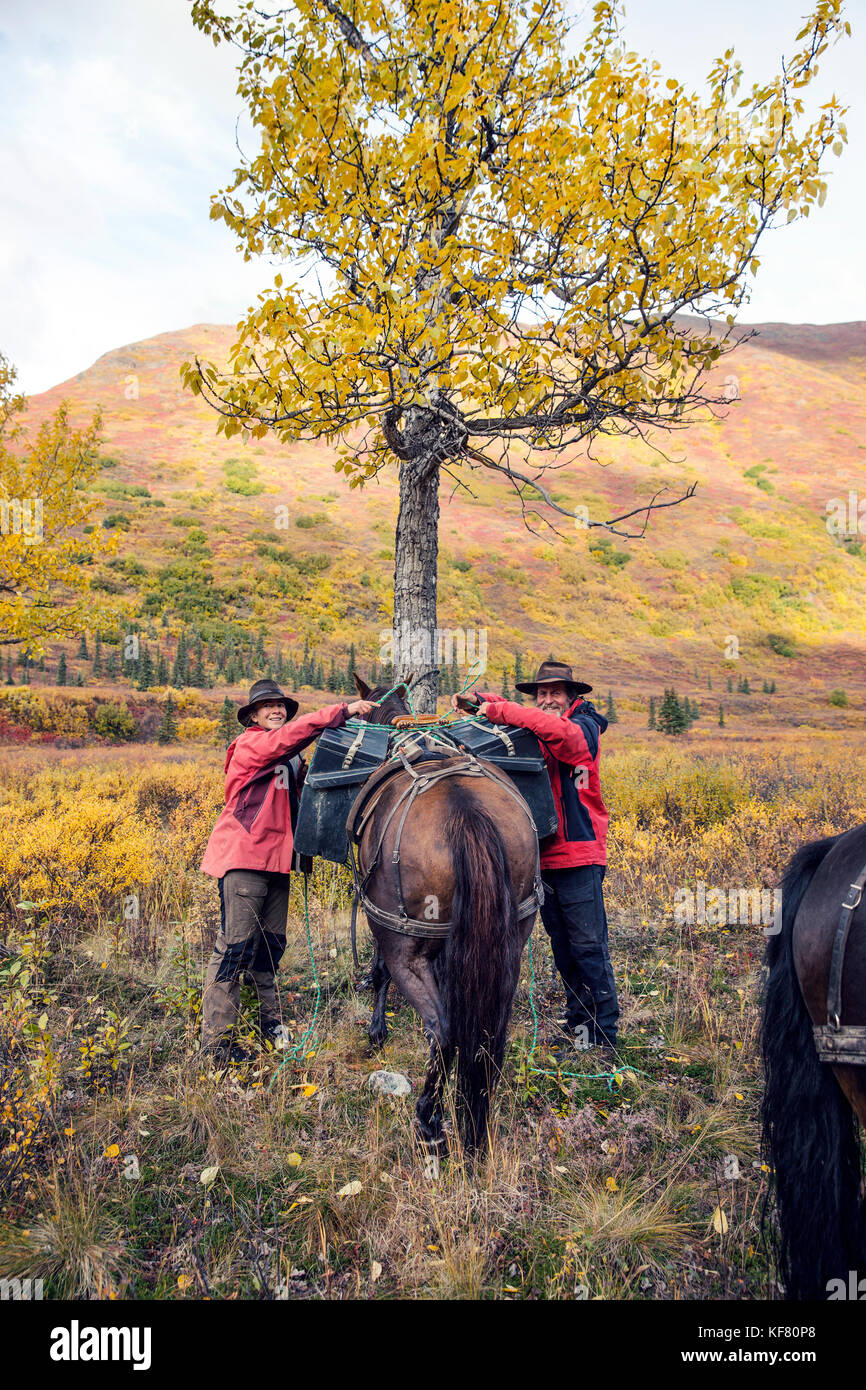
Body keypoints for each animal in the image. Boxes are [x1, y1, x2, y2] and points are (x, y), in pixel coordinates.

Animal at [347, 673, 542, 1154]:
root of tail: (467, 814)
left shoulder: (384, 925)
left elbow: (378, 971)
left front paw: (376, 1032)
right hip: (513, 938)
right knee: (490, 1033)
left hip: (404, 946)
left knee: (442, 1031)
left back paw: (429, 1120)